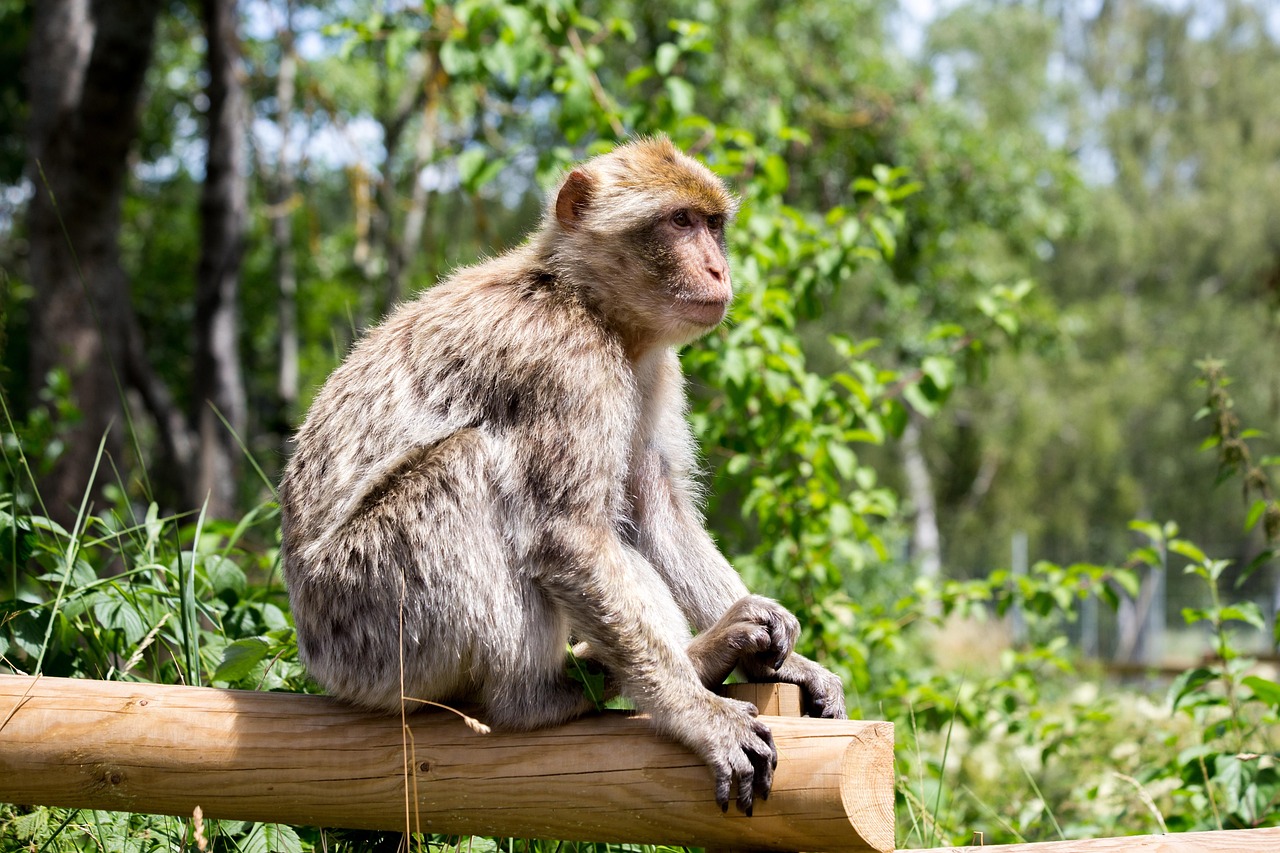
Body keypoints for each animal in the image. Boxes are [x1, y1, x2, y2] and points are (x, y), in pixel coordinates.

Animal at [279, 136, 847, 815]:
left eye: (712, 225)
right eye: (679, 222)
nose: (718, 270)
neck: (588, 303)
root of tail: (317, 656)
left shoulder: (653, 369)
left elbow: (656, 512)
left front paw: (790, 663)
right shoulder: (566, 364)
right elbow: (567, 537)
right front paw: (698, 715)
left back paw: (703, 654)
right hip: (369, 624)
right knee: (469, 463)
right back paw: (537, 698)